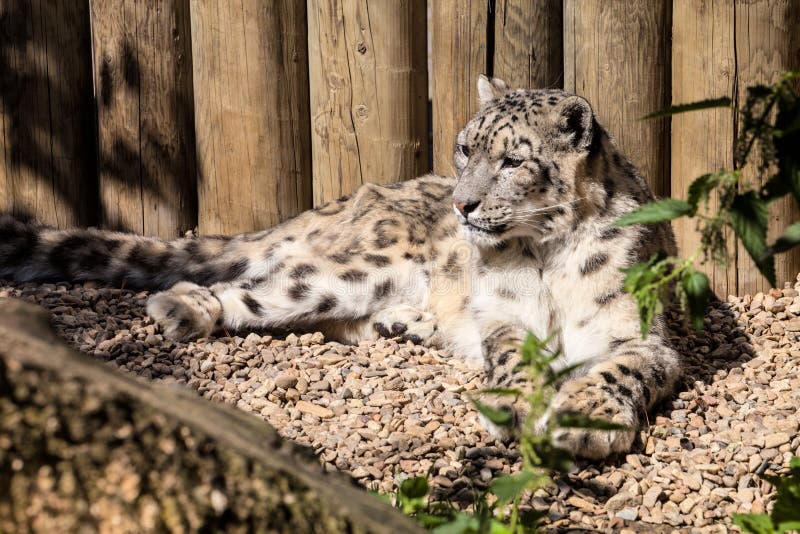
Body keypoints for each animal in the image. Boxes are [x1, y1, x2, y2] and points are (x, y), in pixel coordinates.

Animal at [0, 75, 680, 459]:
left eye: (513, 161)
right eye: (465, 147)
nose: (462, 204)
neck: (545, 257)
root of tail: (331, 205)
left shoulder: (643, 334)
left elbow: (622, 369)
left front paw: (589, 419)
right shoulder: (507, 319)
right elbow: (513, 353)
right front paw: (516, 403)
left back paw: (405, 325)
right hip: (356, 270)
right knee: (251, 286)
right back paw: (181, 308)